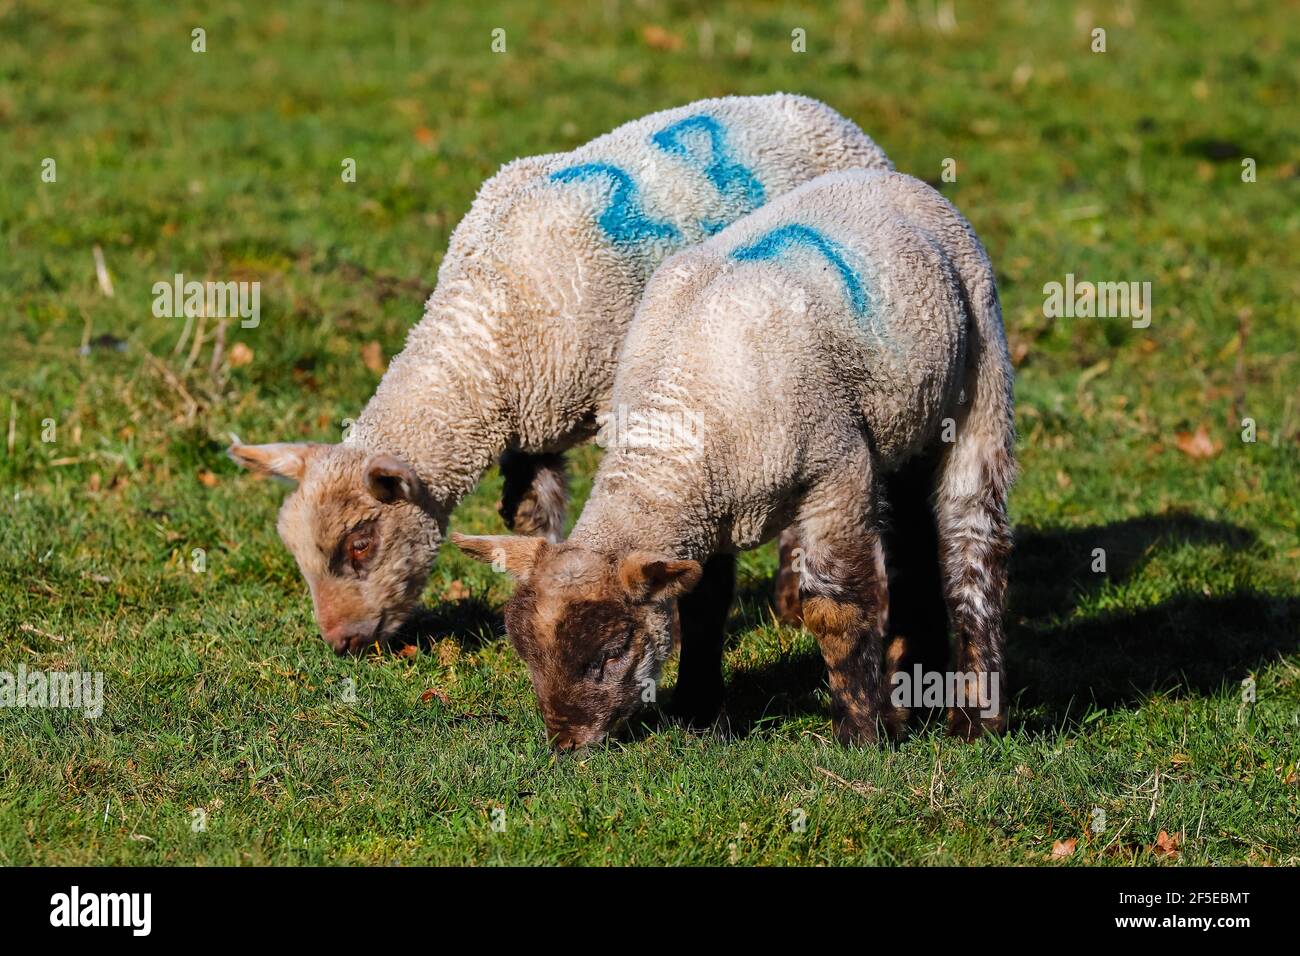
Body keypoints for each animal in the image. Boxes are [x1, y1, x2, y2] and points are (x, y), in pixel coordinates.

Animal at [229, 95, 893, 654]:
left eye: (360, 543)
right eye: (296, 551)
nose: (340, 643)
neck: (483, 336)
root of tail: (823, 111)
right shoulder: (531, 431)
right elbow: (533, 522)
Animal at [455, 168, 1016, 748]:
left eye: (610, 654)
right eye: (526, 658)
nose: (565, 744)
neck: (683, 399)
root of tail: (894, 178)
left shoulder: (835, 471)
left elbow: (837, 607)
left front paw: (860, 732)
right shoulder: (706, 503)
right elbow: (702, 602)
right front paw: (698, 711)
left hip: (981, 379)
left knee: (973, 543)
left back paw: (976, 717)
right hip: (908, 424)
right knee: (915, 539)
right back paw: (914, 689)